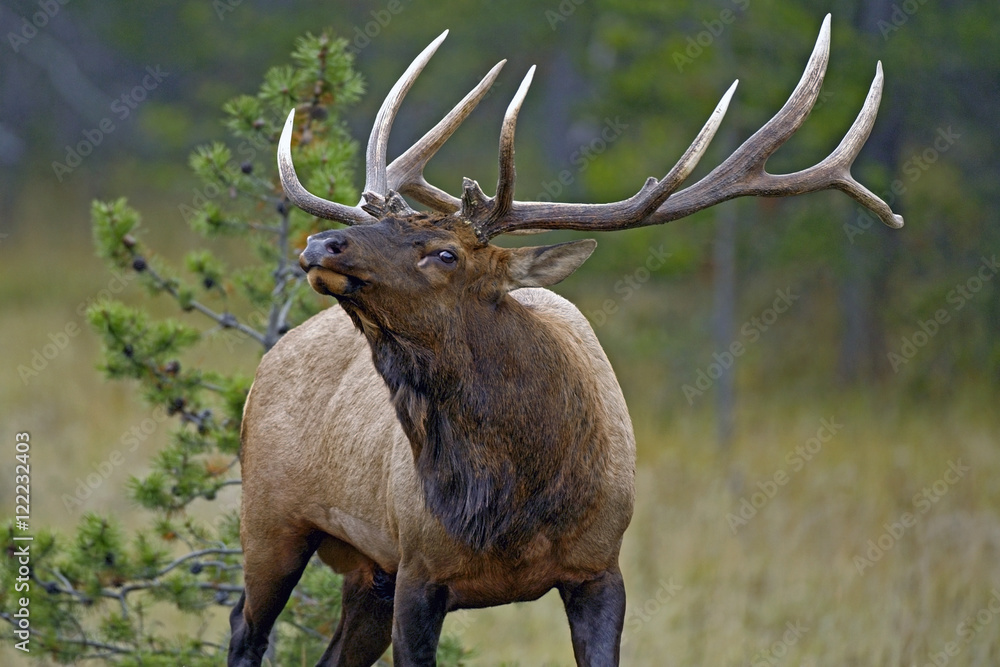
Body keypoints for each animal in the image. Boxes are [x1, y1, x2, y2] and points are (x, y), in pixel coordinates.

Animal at [228, 15, 902, 667]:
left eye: (445, 253)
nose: (322, 243)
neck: (517, 502)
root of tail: (272, 357)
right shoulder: (419, 569)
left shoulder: (599, 567)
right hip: (272, 518)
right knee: (243, 626)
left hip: (366, 570)